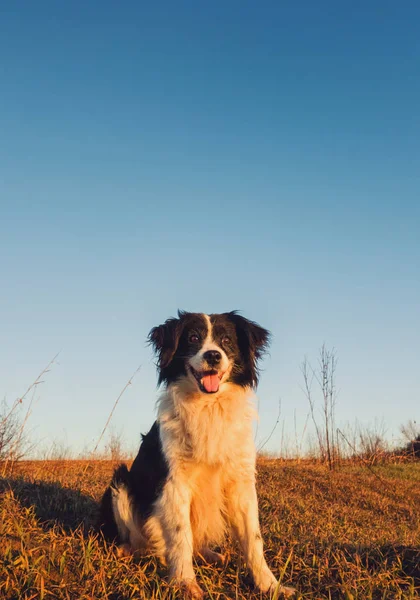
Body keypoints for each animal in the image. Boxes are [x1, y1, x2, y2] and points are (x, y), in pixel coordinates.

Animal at [99, 312, 296, 596]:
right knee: (138, 538)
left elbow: (253, 538)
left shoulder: (241, 483)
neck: (208, 406)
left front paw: (270, 585)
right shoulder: (174, 483)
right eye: (193, 338)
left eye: (226, 341)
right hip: (120, 482)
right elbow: (180, 535)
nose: (213, 355)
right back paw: (127, 550)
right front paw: (185, 583)